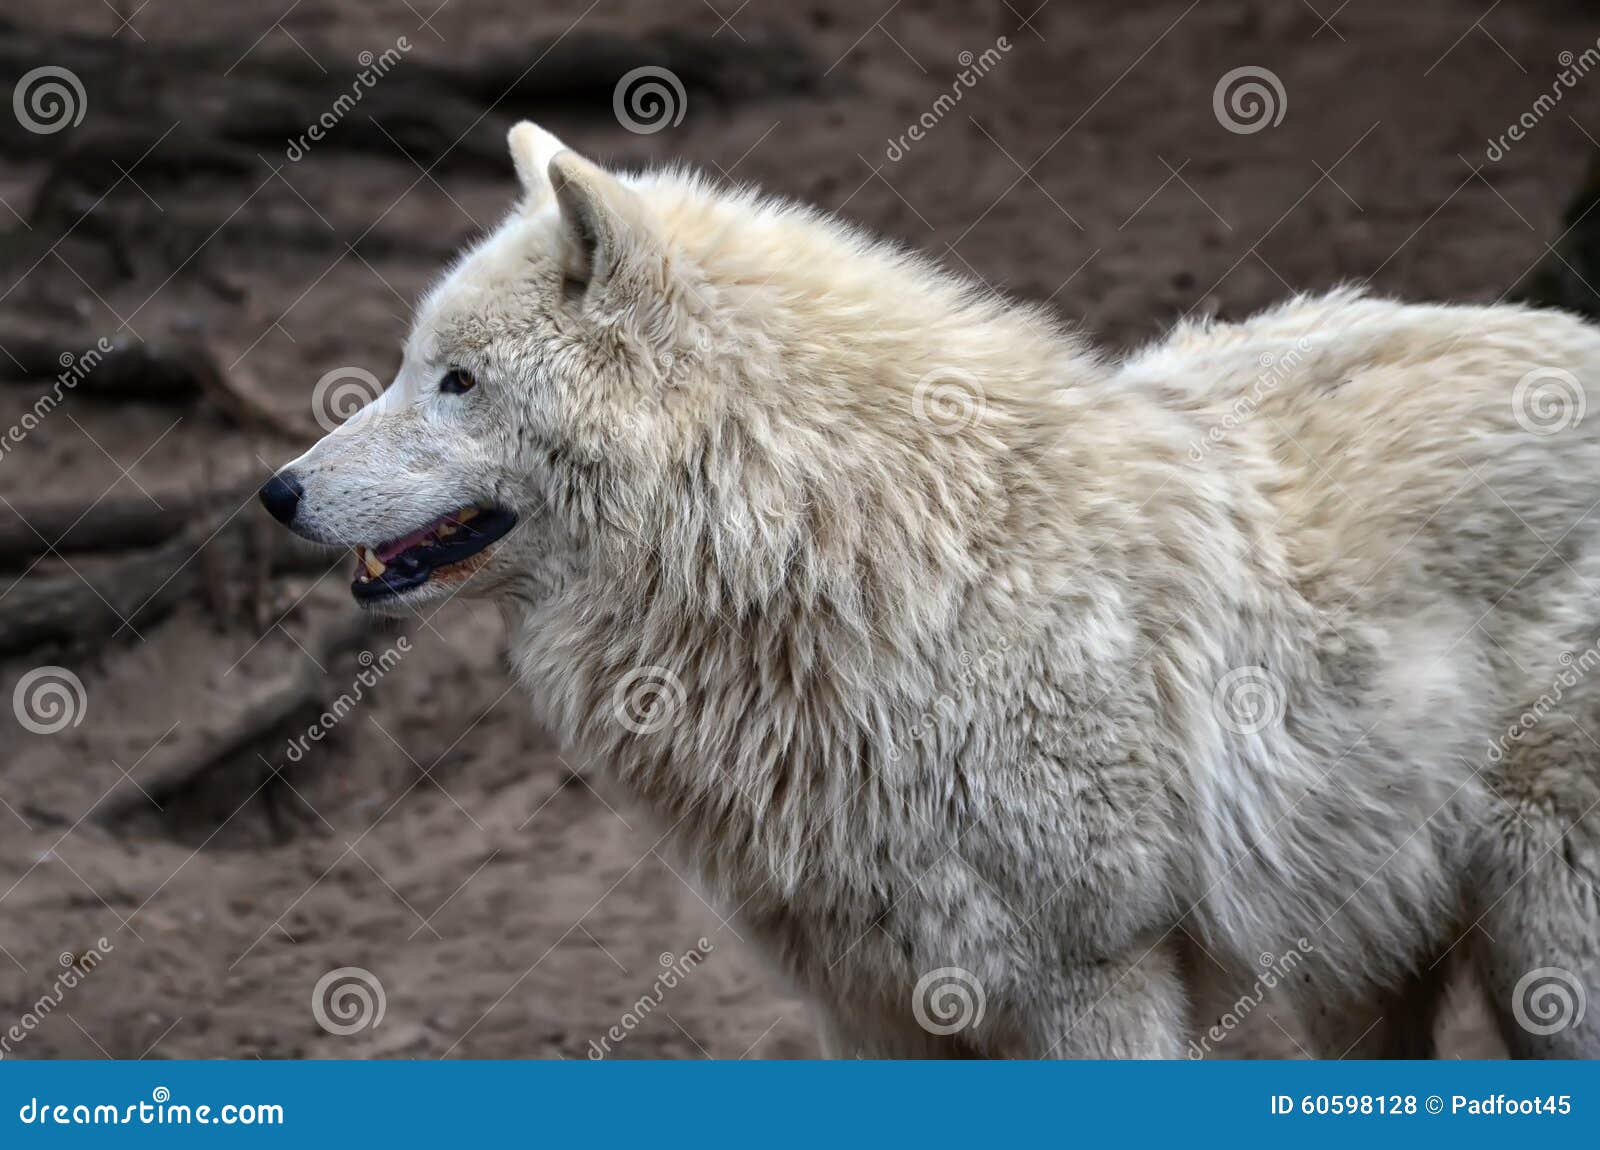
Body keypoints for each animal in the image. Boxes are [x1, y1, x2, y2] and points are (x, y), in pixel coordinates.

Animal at [261, 122, 1600, 1058]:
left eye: (458, 382)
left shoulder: (1095, 981)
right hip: (1361, 961)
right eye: (411, 366)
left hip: (1545, 949)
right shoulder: (871, 1007)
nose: (276, 493)